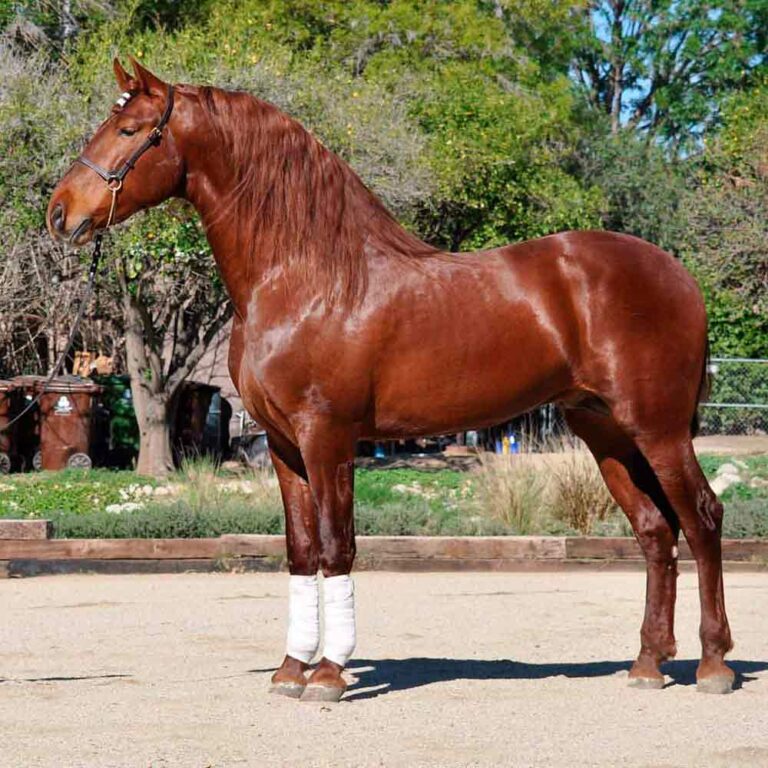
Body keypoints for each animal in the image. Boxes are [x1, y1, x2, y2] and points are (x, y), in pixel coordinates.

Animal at [47, 58, 734, 701]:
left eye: (129, 130)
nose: (60, 213)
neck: (306, 274)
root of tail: (678, 274)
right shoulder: (283, 445)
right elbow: (300, 551)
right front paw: (290, 670)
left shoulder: (327, 436)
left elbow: (336, 546)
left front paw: (328, 674)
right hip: (603, 430)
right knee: (655, 530)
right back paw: (647, 664)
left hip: (658, 429)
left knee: (702, 517)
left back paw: (712, 663)